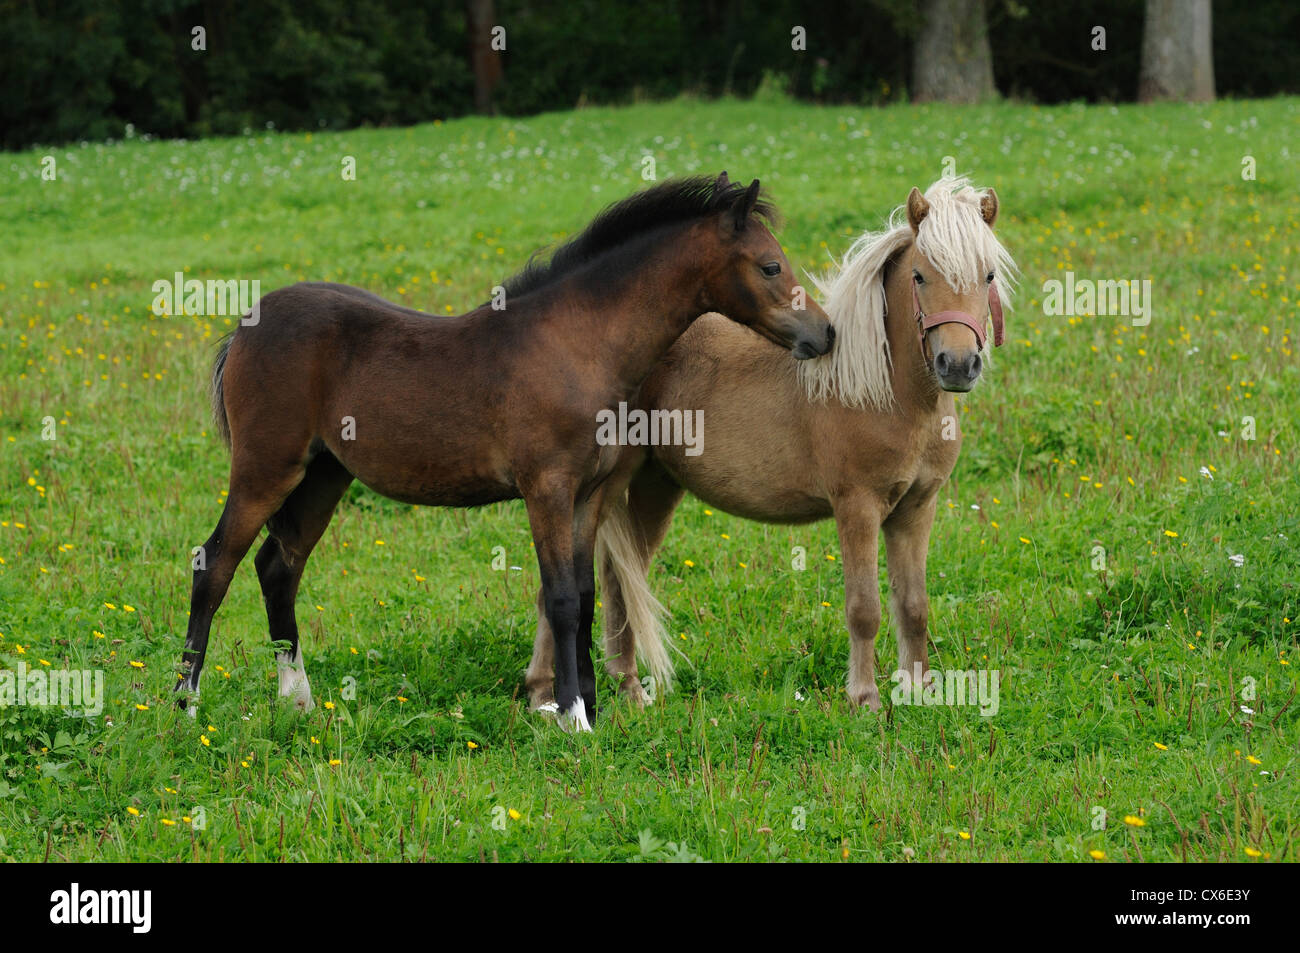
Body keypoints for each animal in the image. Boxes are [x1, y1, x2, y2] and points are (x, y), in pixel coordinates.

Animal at [178, 173, 834, 732]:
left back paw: (300, 701)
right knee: (216, 562)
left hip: (323, 476)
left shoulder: (589, 496)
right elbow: (562, 598)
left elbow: (585, 596)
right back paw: (187, 705)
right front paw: (572, 716)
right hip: (266, 469)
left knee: (279, 567)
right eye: (770, 265)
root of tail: (247, 325)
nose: (824, 334)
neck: (576, 345)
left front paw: (588, 705)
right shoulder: (546, 488)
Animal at [524, 175, 1017, 713]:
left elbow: (913, 606)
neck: (883, 389)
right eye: (921, 277)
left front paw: (919, 692)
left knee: (619, 574)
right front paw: (864, 699)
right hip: (604, 486)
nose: (958, 365)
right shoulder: (858, 507)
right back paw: (545, 693)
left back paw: (629, 686)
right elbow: (864, 608)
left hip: (657, 485)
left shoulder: (916, 508)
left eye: (989, 276)